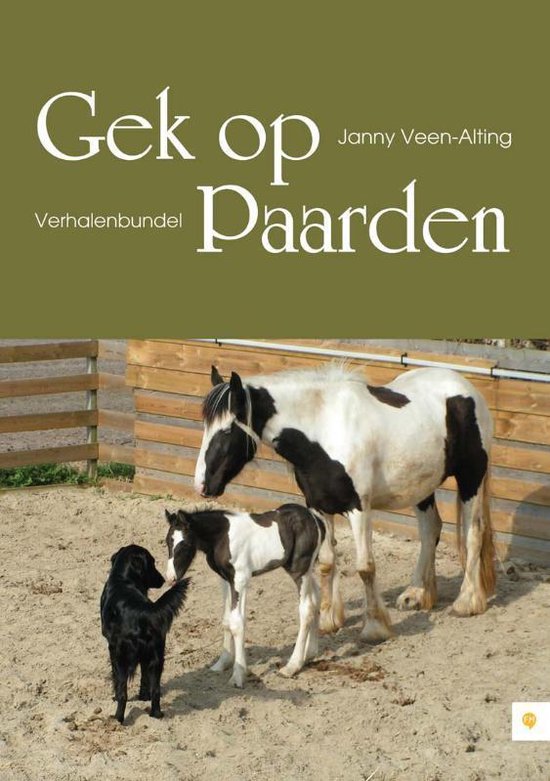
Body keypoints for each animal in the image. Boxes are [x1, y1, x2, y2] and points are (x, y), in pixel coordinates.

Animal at [194, 363, 495, 641]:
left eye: (227, 430)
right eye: (206, 426)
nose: (202, 485)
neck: (323, 430)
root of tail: (466, 388)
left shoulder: (358, 508)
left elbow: (365, 567)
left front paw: (374, 627)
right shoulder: (320, 507)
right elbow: (327, 562)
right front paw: (329, 620)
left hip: (471, 477)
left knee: (473, 533)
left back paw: (467, 601)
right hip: (422, 487)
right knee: (430, 530)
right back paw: (418, 594)